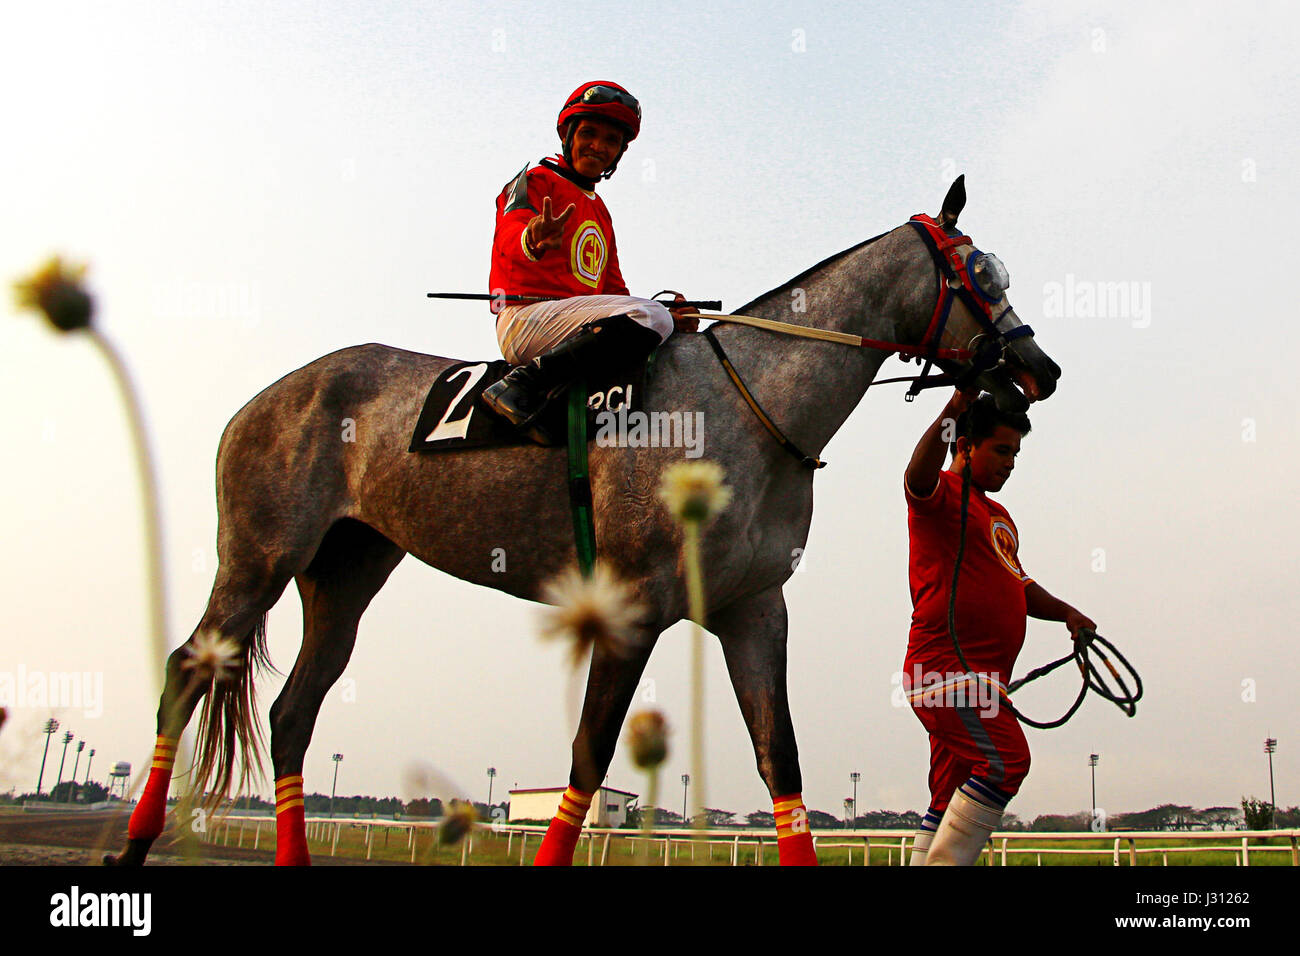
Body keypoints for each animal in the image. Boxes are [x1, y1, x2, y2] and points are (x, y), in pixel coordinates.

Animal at [106, 177, 1059, 866]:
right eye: (982, 277)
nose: (1038, 370)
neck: (747, 406)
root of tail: (271, 393)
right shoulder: (631, 605)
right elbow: (588, 755)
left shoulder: (755, 609)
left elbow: (780, 759)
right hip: (257, 559)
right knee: (186, 669)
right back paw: (134, 843)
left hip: (347, 571)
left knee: (294, 711)